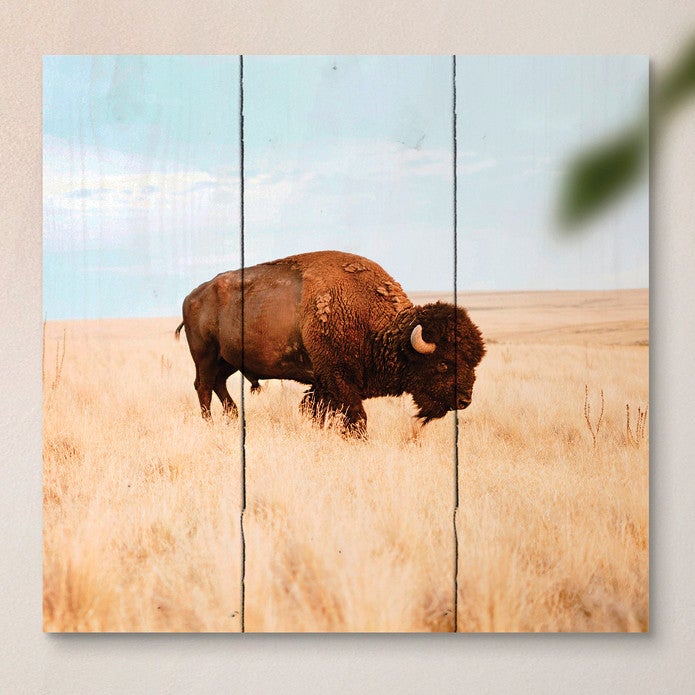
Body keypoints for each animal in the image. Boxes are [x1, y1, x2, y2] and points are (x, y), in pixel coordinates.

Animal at [175, 250, 485, 436]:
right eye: (443, 363)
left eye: (473, 362)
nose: (464, 400)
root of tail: (192, 295)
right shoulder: (338, 378)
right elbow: (356, 416)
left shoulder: (323, 384)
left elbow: (317, 410)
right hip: (205, 355)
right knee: (204, 387)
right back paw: (210, 423)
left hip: (227, 360)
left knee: (219, 385)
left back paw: (233, 418)